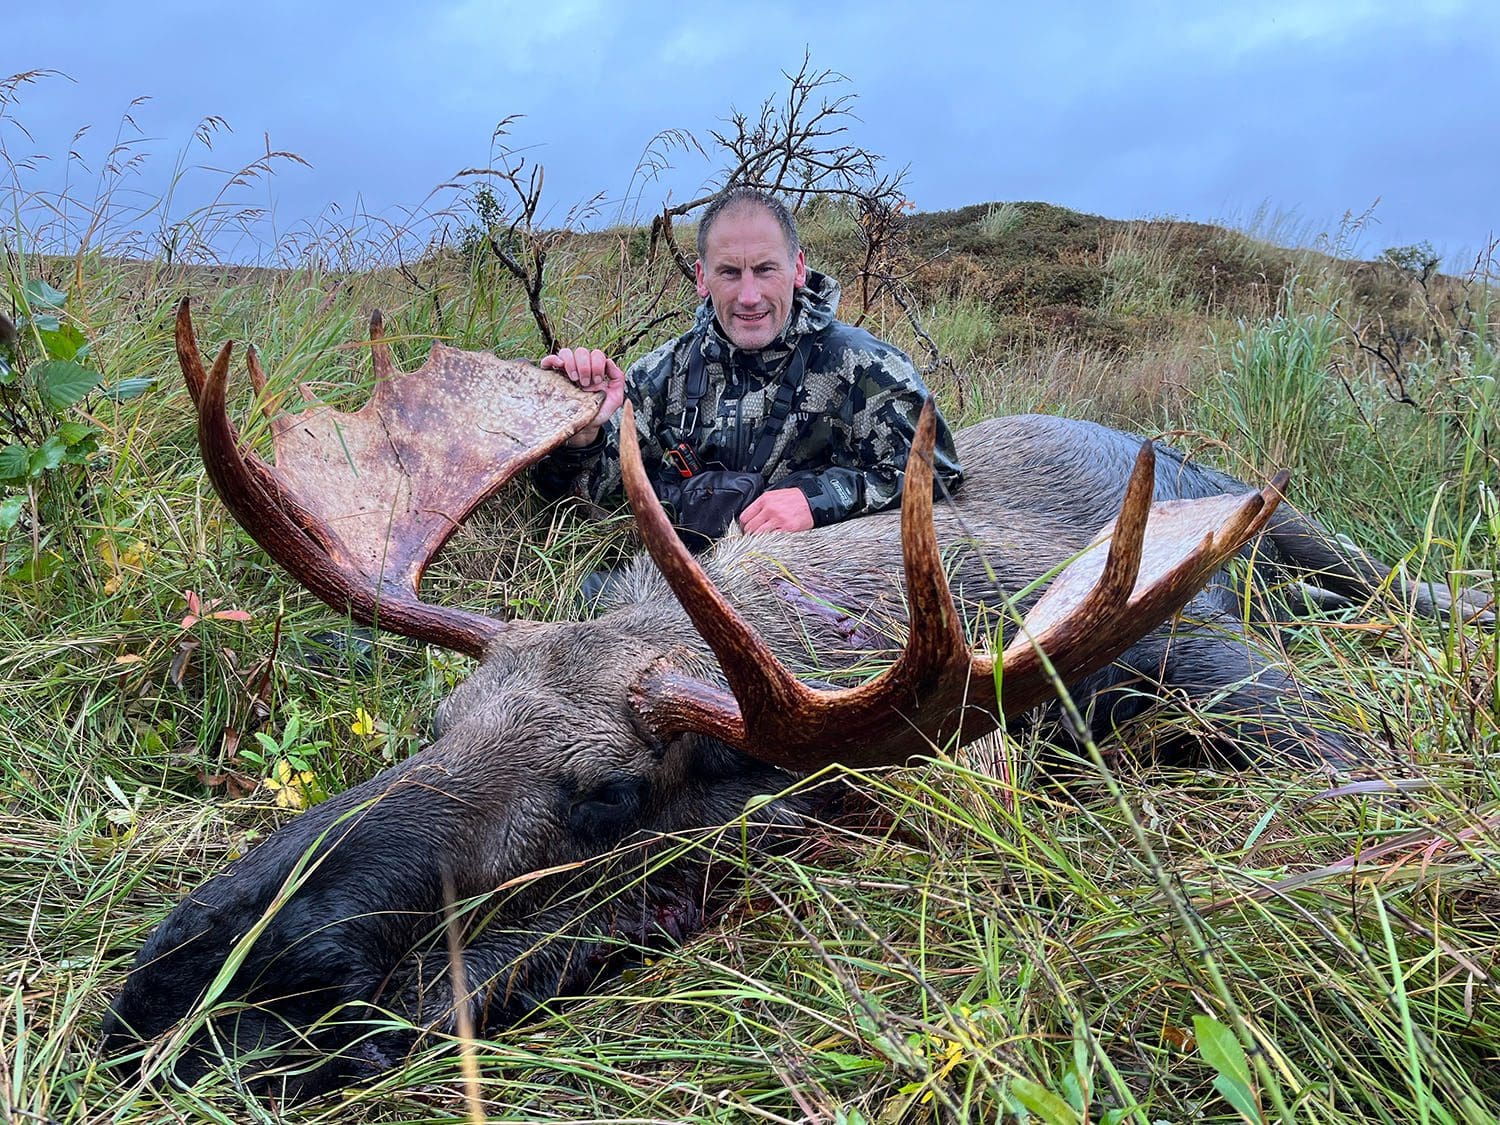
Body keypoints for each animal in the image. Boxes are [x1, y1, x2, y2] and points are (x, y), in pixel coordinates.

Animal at [103, 299, 1482, 1098]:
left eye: (610, 796)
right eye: (437, 724)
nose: (196, 983)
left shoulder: (1206, 663)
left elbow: (1348, 765)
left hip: (1291, 527)